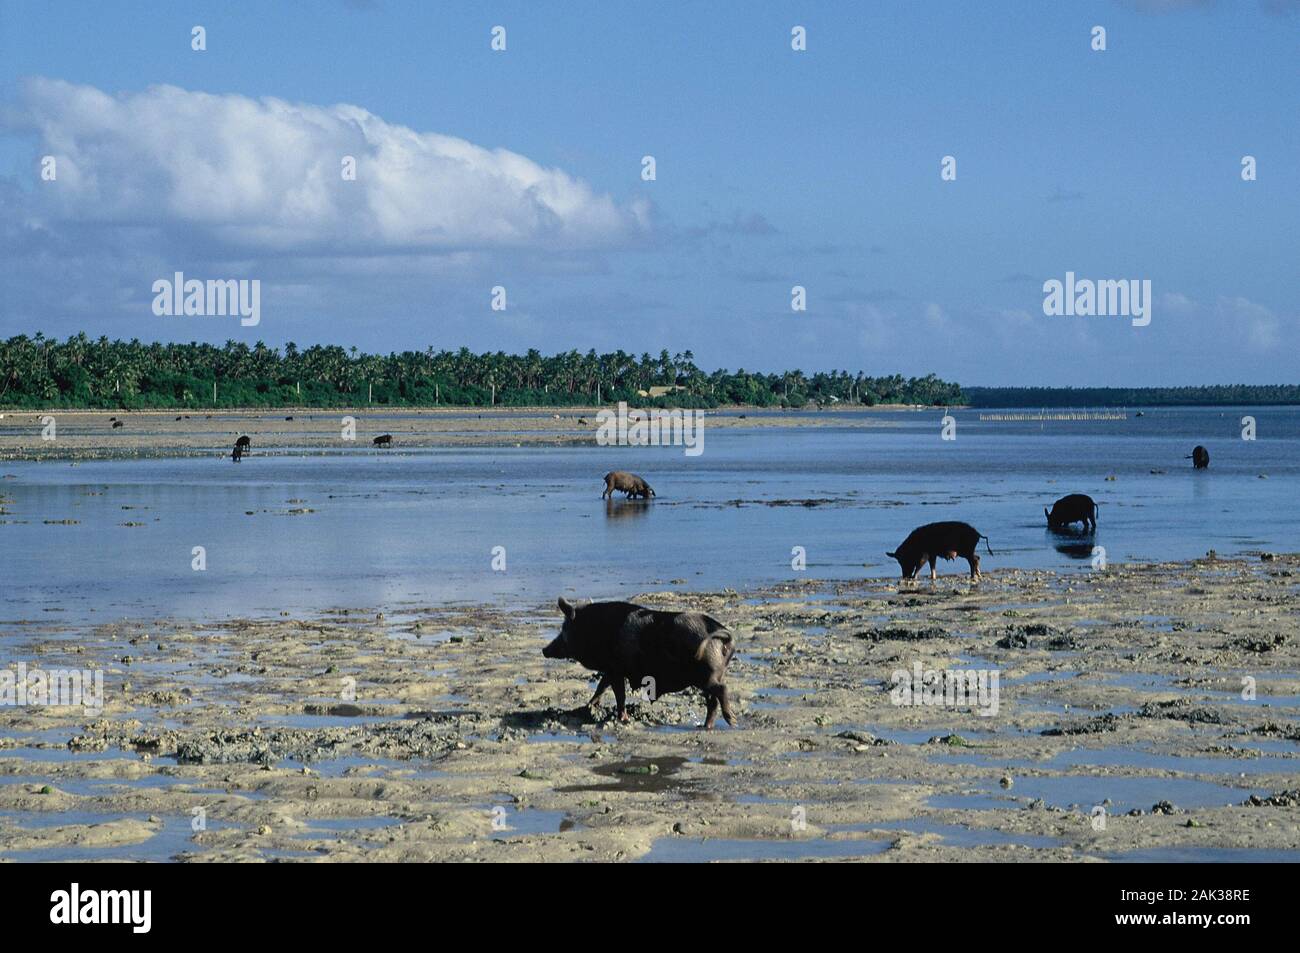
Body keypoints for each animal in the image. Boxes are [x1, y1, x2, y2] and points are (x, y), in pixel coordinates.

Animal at [543, 598, 736, 728]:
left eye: (564, 628)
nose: (544, 650)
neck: (593, 629)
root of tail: (723, 634)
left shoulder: (616, 669)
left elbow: (619, 694)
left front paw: (622, 719)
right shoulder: (611, 669)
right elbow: (601, 686)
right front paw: (589, 706)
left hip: (706, 675)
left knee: (721, 689)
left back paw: (732, 721)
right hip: (712, 675)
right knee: (712, 701)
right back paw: (705, 726)